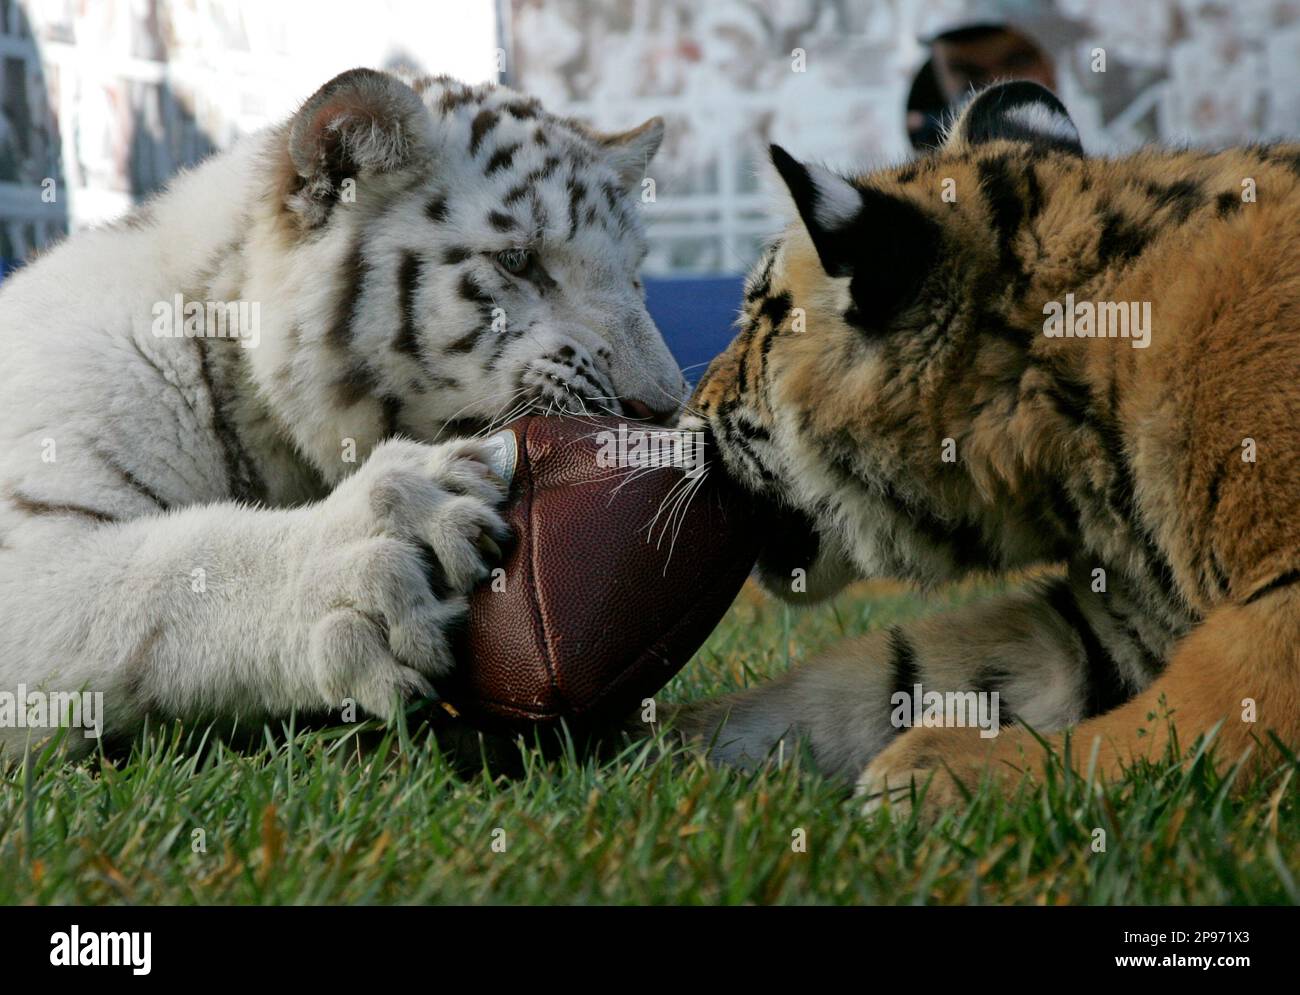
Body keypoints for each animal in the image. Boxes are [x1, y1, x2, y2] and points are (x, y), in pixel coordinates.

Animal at [677, 81, 1300, 817]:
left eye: (758, 317)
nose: (682, 413)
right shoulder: (1114, 621)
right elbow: (879, 673)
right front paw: (648, 741)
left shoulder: (1281, 605)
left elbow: (1177, 730)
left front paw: (925, 771)